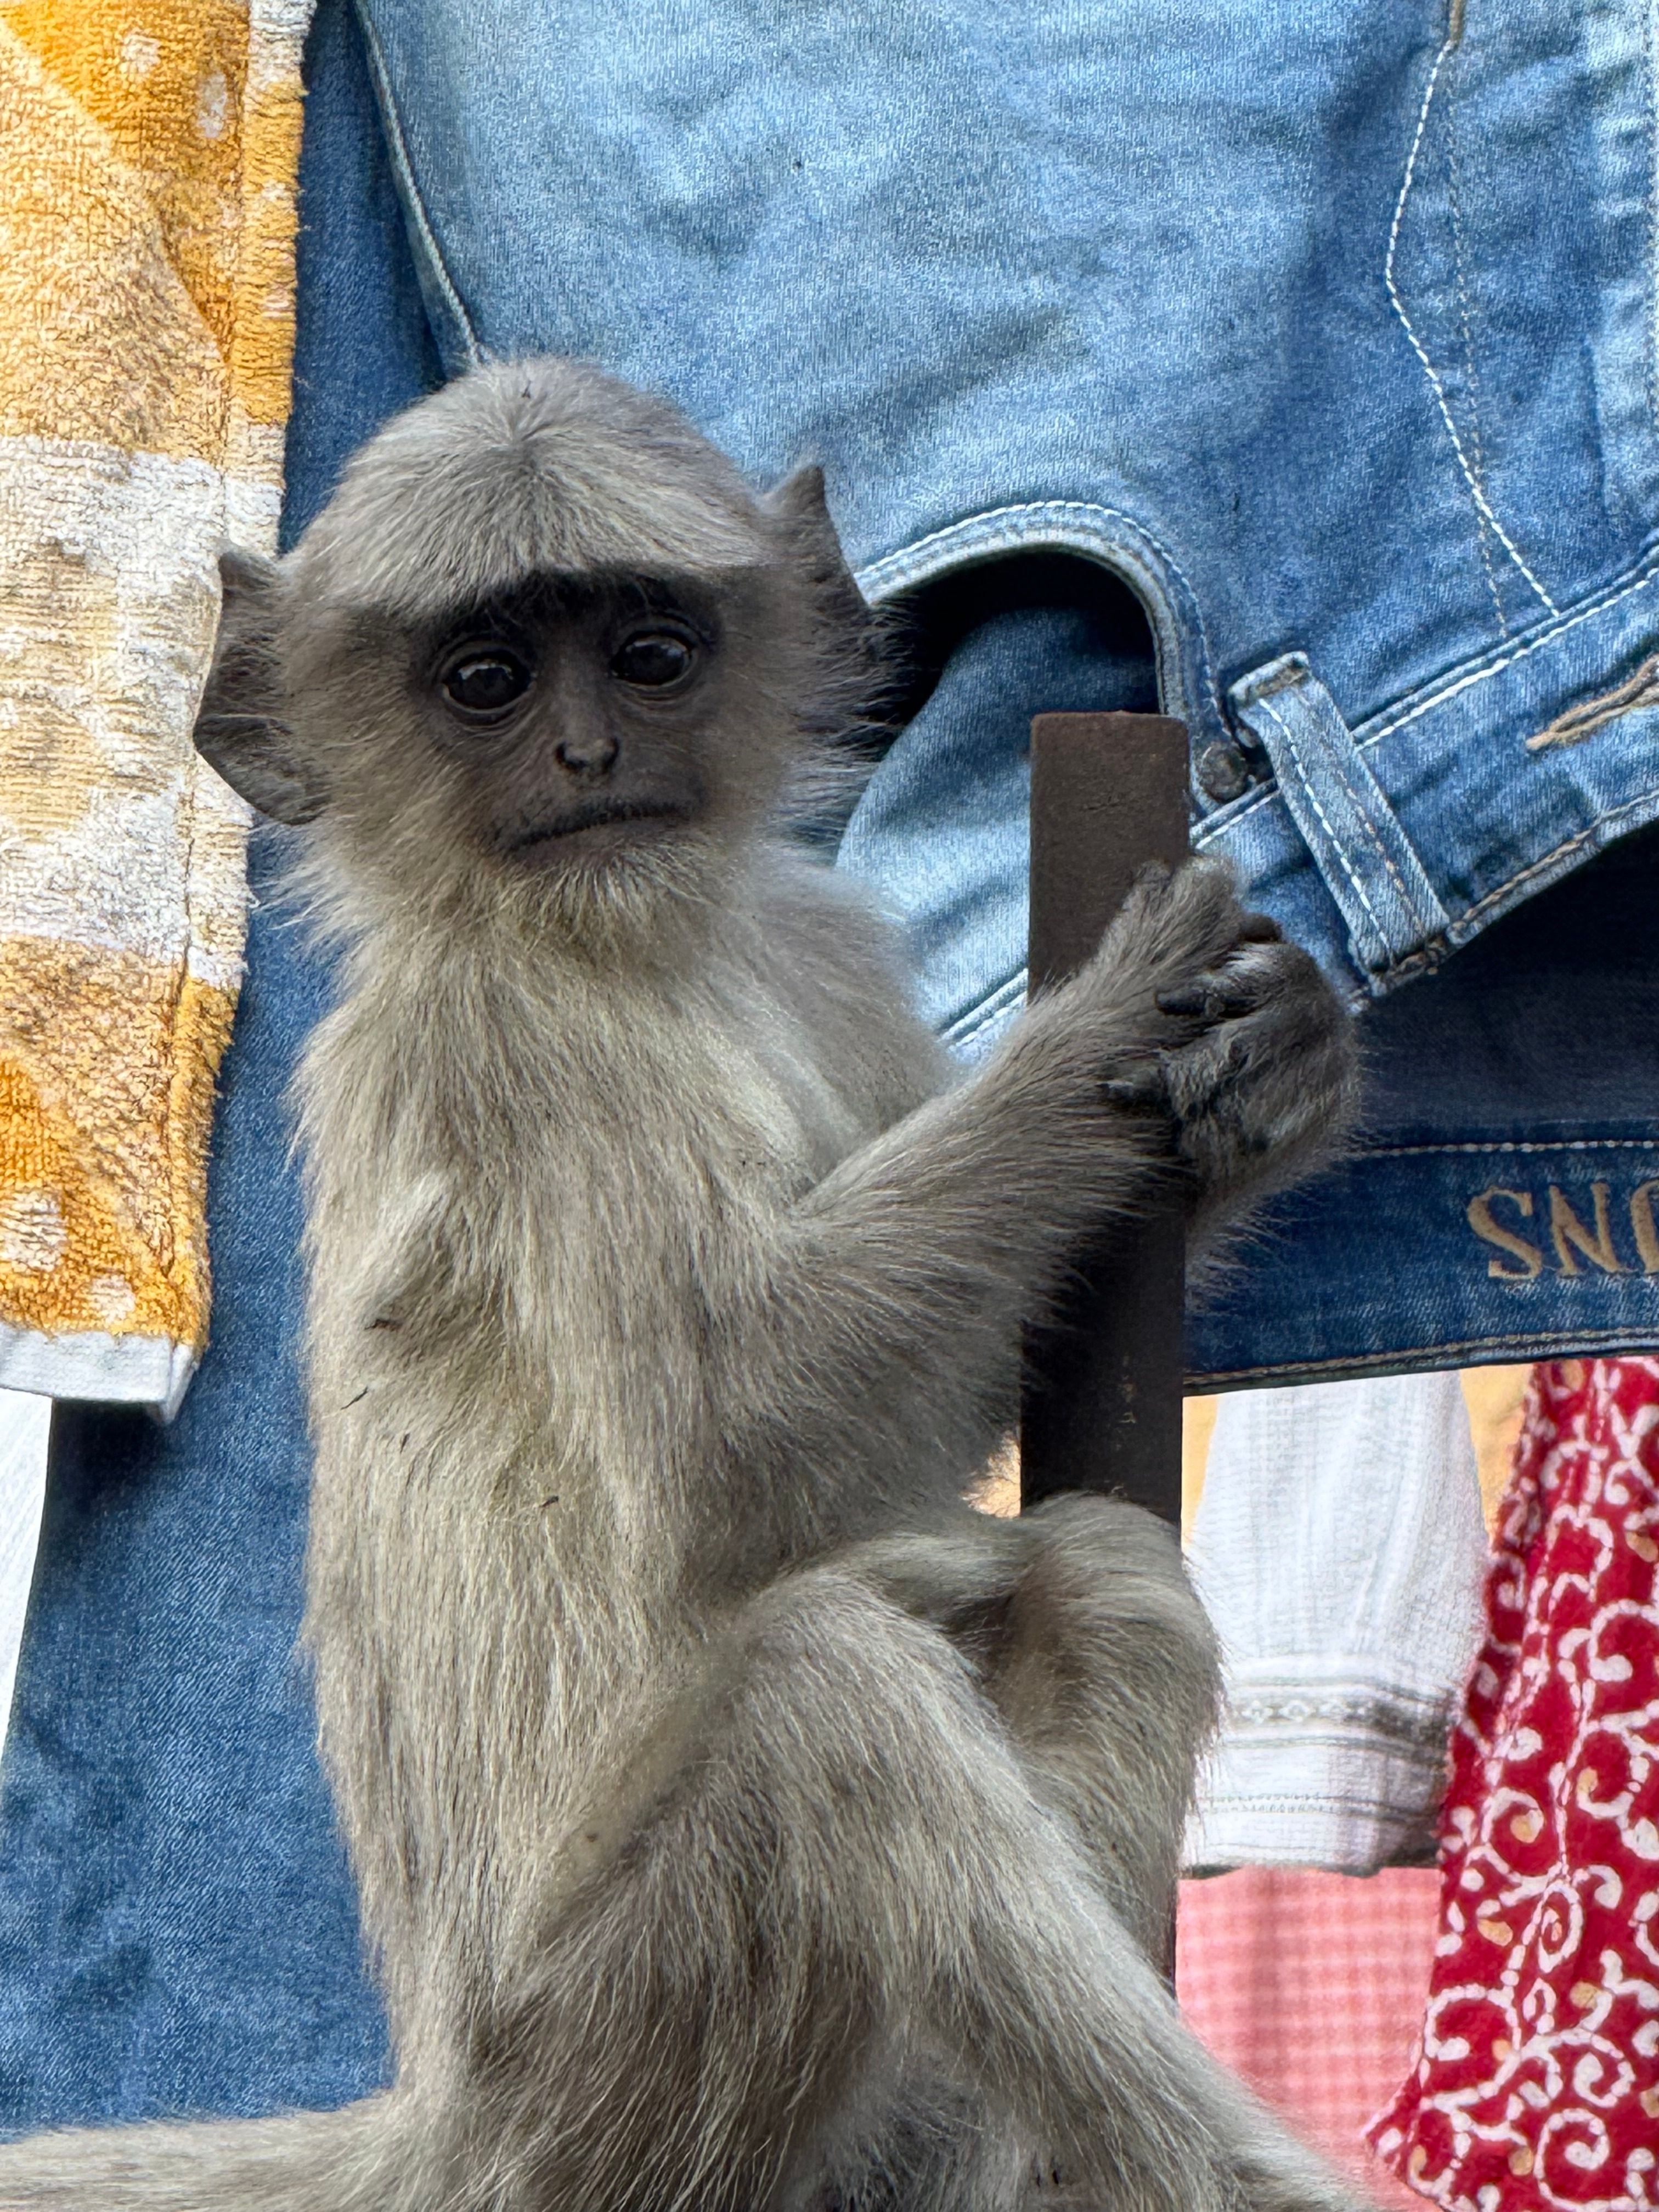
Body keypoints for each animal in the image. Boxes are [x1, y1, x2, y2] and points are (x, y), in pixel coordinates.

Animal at [0, 358, 1363, 2212]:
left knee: (1096, 1595)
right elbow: (737, 1443)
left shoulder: (819, 946)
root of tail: (439, 2130)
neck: (637, 955)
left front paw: (1280, 1061)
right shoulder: (515, 1048)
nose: (591, 754)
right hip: (603, 2062)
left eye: (652, 655)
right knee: (828, 1695)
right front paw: (1104, 1031)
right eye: (486, 683)